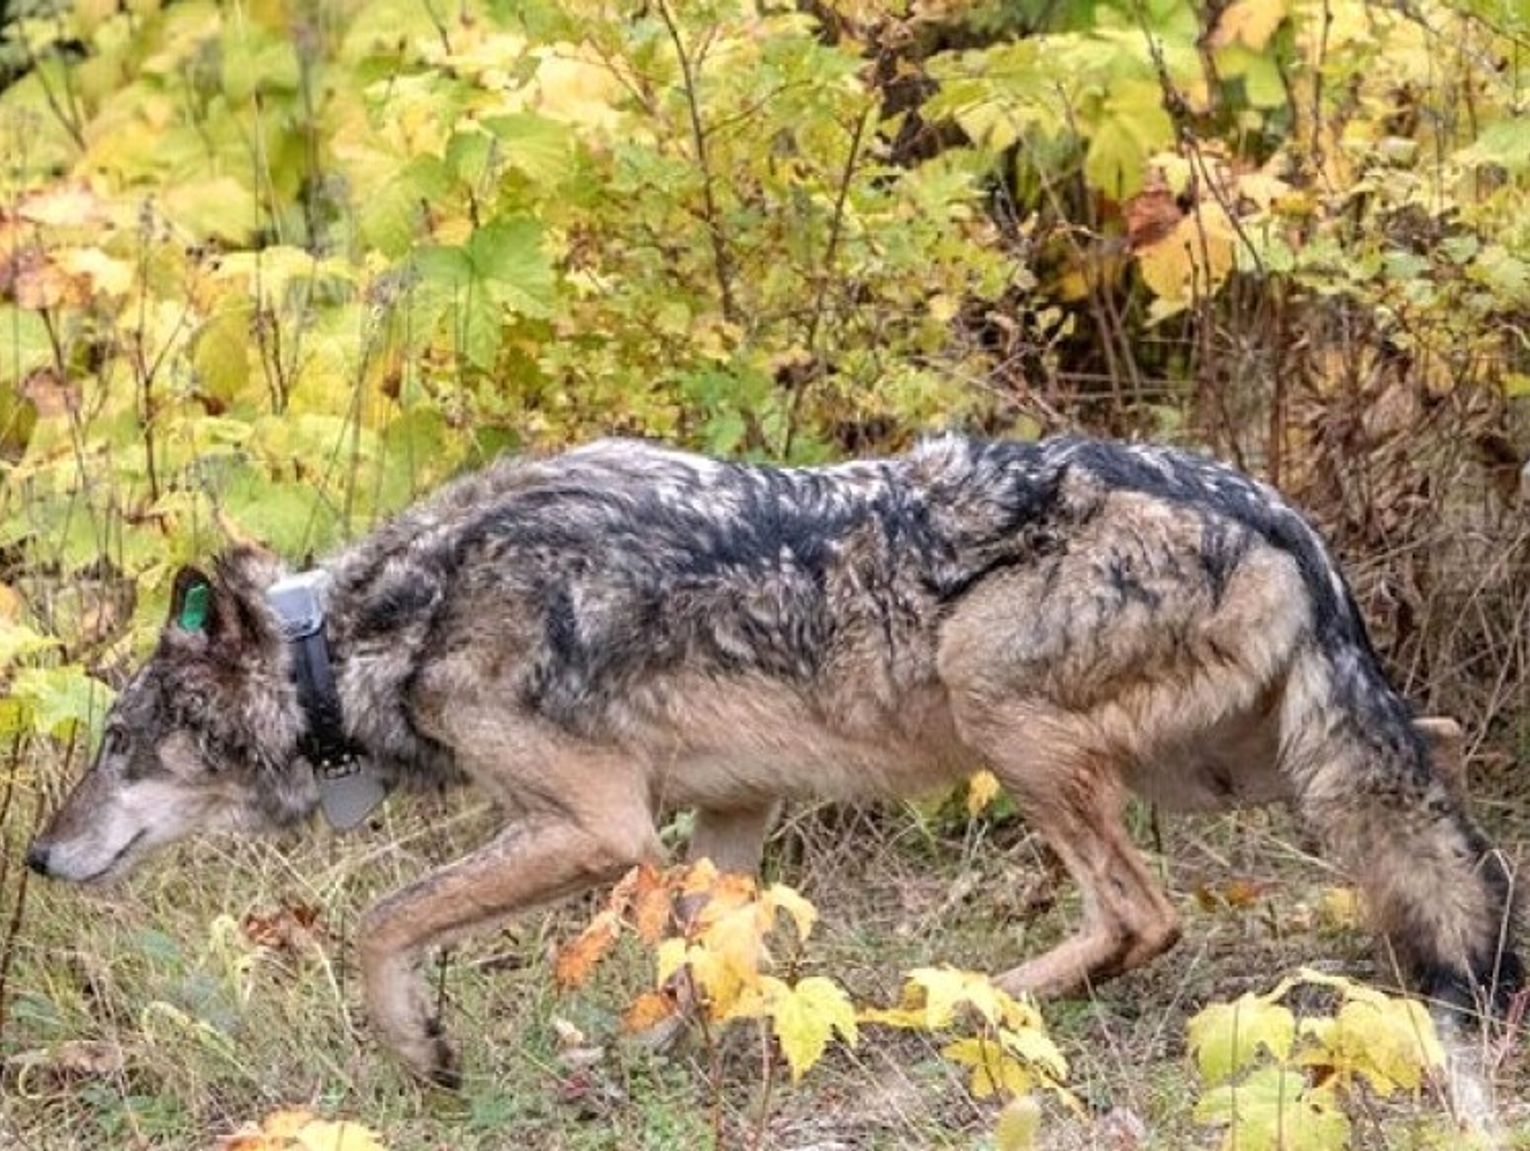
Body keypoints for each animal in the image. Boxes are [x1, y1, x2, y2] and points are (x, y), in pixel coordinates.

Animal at [27, 435, 1522, 1085]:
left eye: (121, 744)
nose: (37, 856)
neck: (377, 629)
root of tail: (1278, 512)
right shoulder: (724, 812)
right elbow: (700, 950)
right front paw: (649, 1050)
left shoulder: (602, 825)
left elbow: (382, 918)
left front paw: (420, 1045)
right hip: (1246, 766)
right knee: (1435, 796)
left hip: (1013, 718)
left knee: (1139, 914)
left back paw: (964, 1000)